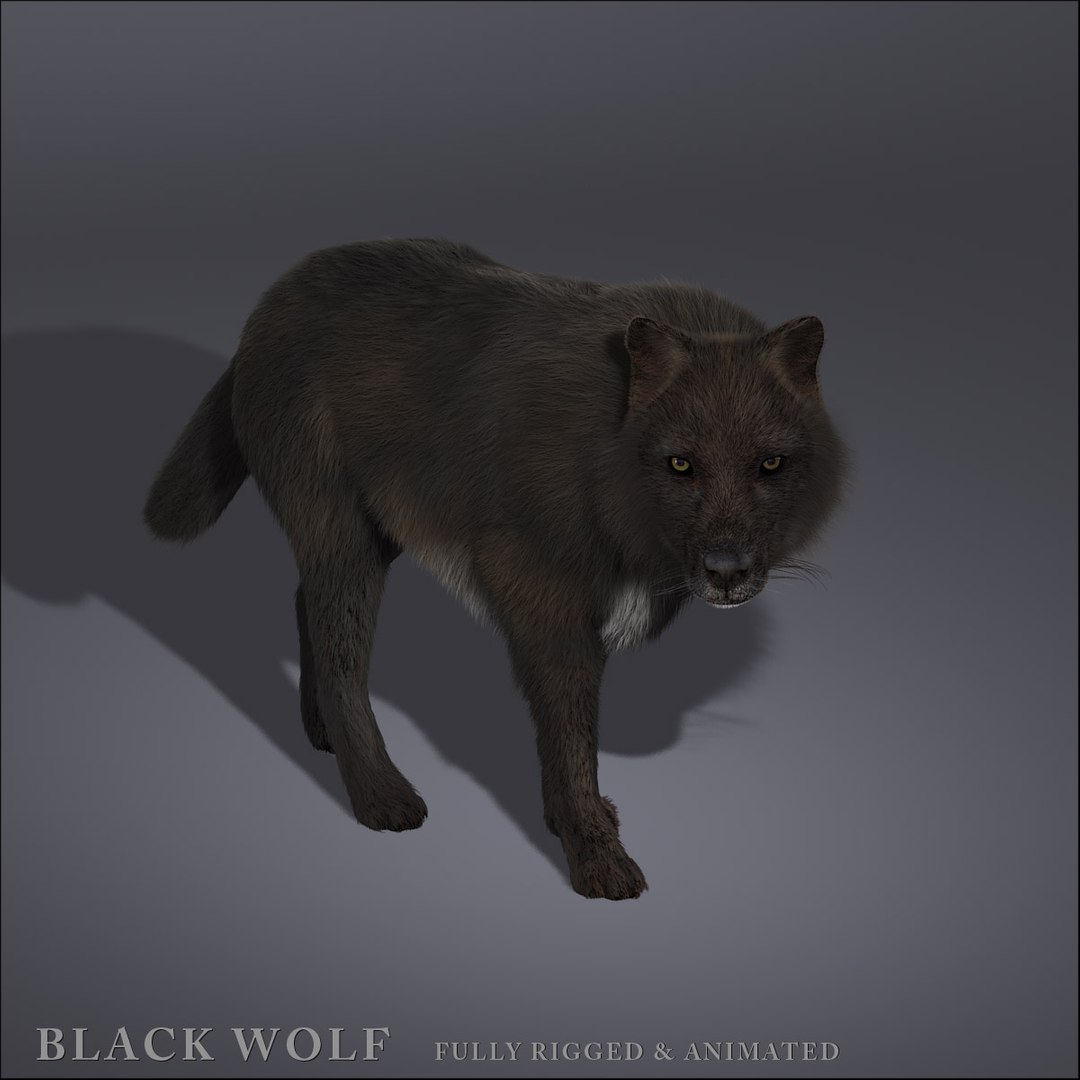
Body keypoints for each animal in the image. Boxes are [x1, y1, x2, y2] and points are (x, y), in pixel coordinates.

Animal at [144, 238, 849, 900]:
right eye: (681, 464)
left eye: (770, 465)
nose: (727, 571)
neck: (603, 448)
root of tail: (273, 297)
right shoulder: (545, 604)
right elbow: (570, 738)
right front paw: (597, 859)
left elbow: (571, 744)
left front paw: (576, 822)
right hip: (342, 535)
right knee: (344, 656)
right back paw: (380, 795)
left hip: (377, 533)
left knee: (303, 605)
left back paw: (319, 733)